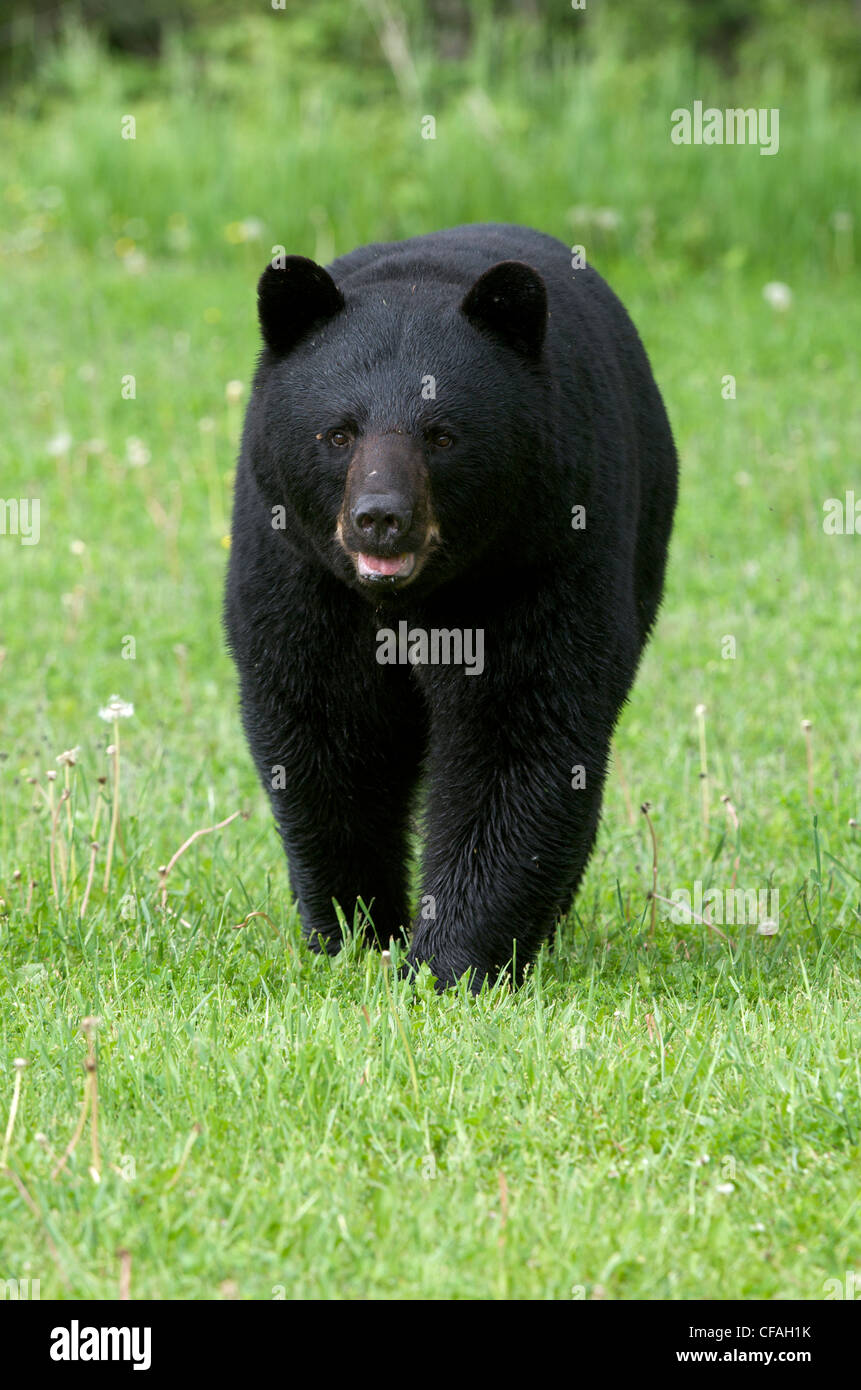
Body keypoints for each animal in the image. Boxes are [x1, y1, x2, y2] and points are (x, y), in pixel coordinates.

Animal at [225, 223, 677, 990]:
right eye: (338, 433)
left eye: (441, 435)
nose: (381, 518)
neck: (404, 599)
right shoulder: (296, 567)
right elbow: (325, 725)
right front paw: (356, 932)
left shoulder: (539, 554)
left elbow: (519, 731)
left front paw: (451, 961)